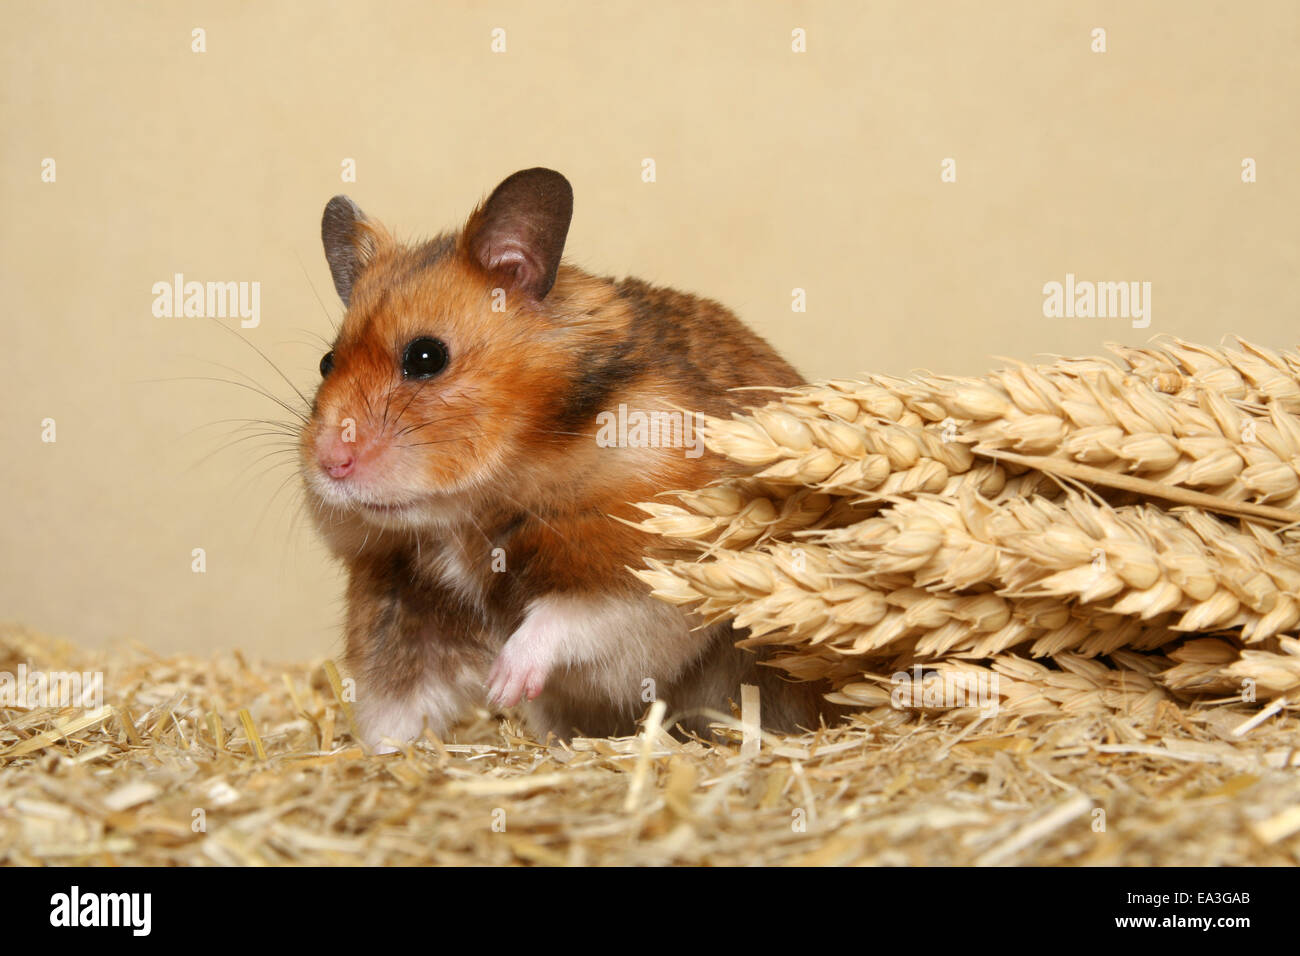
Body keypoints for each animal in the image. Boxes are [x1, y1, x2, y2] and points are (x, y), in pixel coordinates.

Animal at [300, 167, 837, 751]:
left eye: (426, 356)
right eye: (326, 362)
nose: (330, 464)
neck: (470, 509)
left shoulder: (642, 570)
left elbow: (562, 620)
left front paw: (503, 684)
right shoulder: (404, 609)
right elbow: (396, 707)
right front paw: (377, 757)